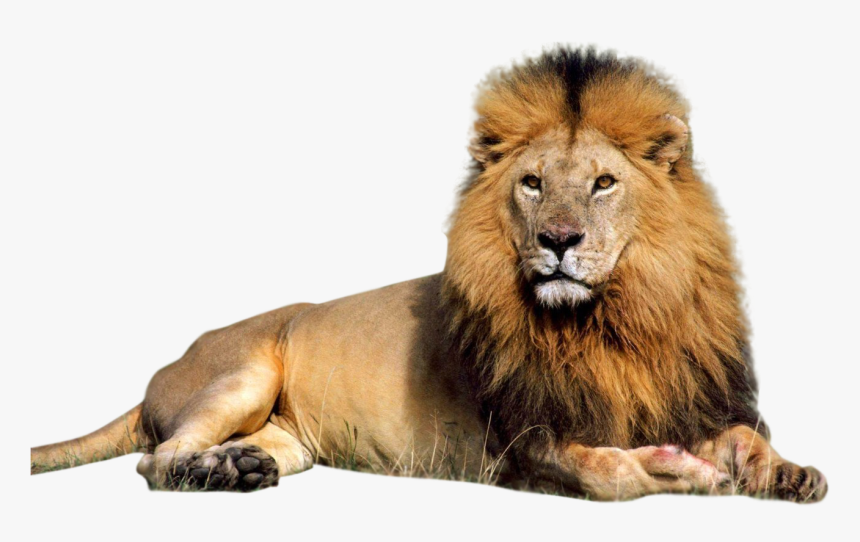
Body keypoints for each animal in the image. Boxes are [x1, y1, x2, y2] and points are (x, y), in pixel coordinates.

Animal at [30, 46, 827, 502]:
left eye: (603, 183)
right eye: (533, 183)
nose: (558, 240)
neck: (612, 321)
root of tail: (159, 375)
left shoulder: (681, 393)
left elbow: (747, 437)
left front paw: (789, 473)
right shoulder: (523, 445)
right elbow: (613, 474)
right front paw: (680, 472)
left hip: (289, 437)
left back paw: (239, 468)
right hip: (243, 372)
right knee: (156, 458)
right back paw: (207, 475)